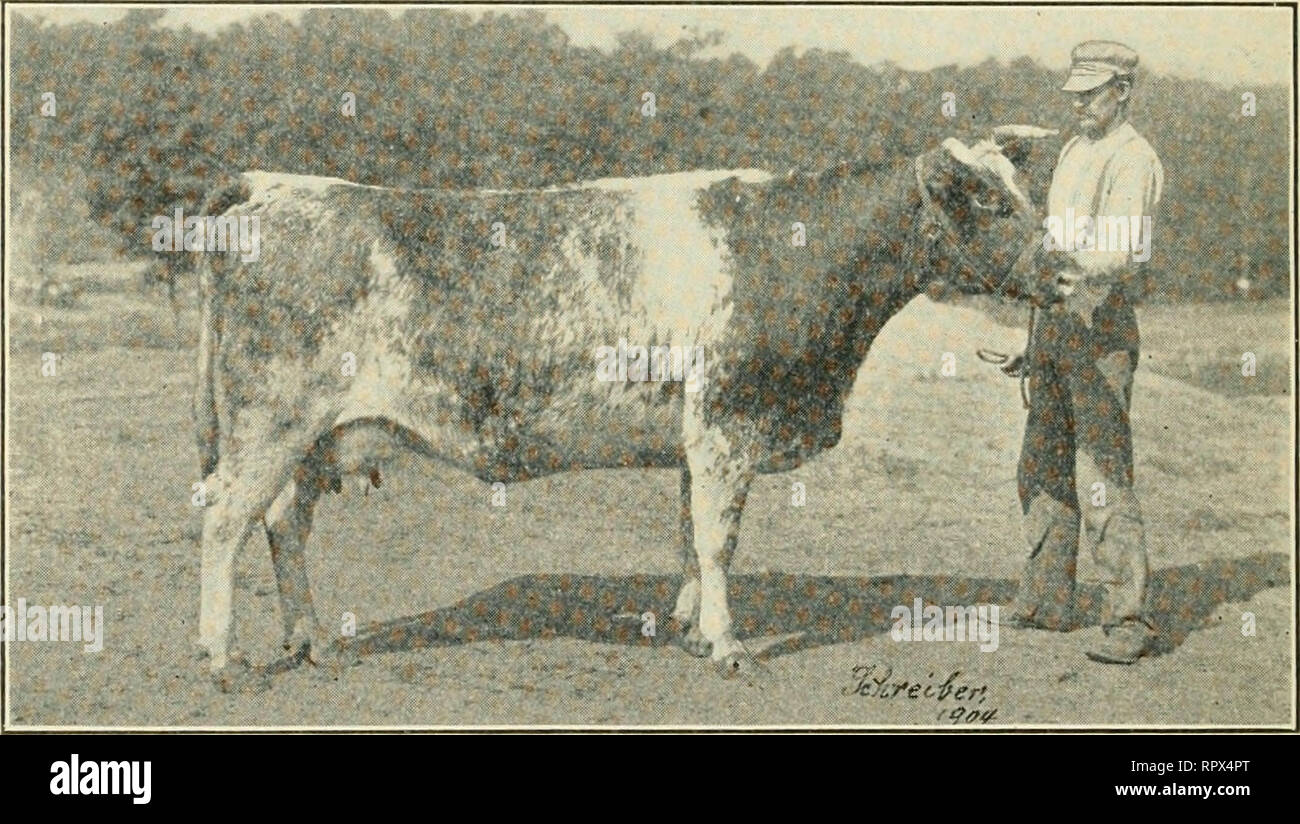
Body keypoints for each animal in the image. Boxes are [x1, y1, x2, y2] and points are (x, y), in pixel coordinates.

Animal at [193, 129, 1053, 691]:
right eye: (988, 202)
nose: (1065, 265)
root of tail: (273, 184)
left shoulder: (696, 440)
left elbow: (688, 537)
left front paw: (687, 627)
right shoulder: (726, 425)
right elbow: (718, 541)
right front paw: (728, 645)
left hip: (316, 437)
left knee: (284, 526)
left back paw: (312, 643)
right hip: (270, 420)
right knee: (226, 520)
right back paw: (223, 660)